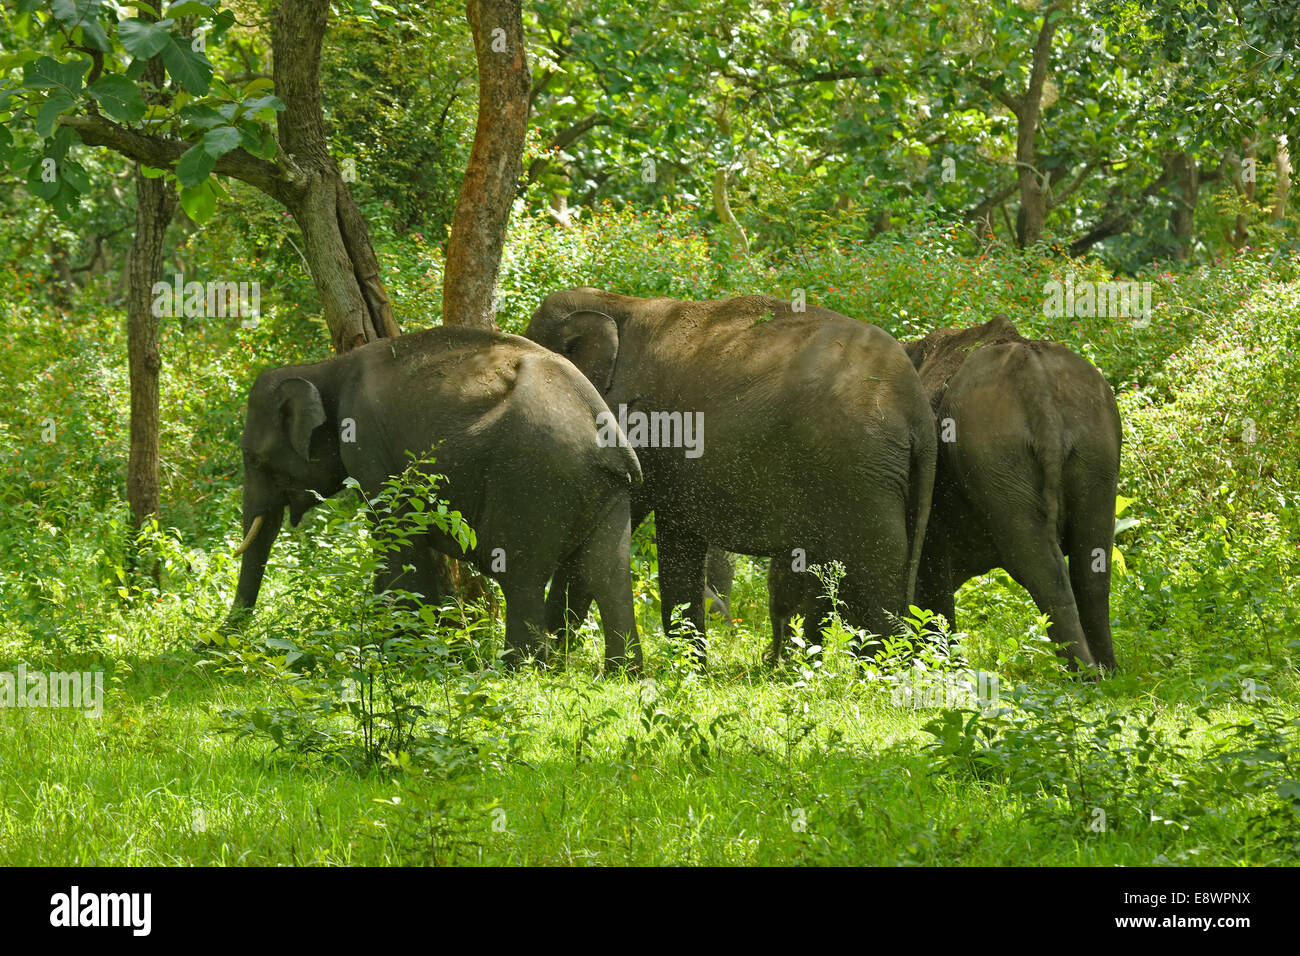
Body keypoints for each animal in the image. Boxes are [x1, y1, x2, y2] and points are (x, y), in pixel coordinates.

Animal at [226, 325, 643, 672]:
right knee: (607, 571)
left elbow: (394, 535)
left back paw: (518, 671)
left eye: (253, 458)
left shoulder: (366, 443)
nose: (220, 646)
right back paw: (623, 675)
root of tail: (601, 430)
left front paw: (402, 655)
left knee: (520, 572)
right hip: (608, 487)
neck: (324, 368)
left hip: (533, 479)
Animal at [524, 287, 936, 664]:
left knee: (875, 566)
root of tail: (918, 414)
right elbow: (678, 539)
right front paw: (690, 668)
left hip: (860, 469)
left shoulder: (643, 423)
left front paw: (555, 657)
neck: (619, 302)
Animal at [767, 314, 1121, 671]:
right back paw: (1107, 671)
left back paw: (1083, 674)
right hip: (1097, 449)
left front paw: (939, 665)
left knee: (1042, 567)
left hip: (997, 456)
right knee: (1092, 565)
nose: (775, 661)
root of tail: (1036, 378)